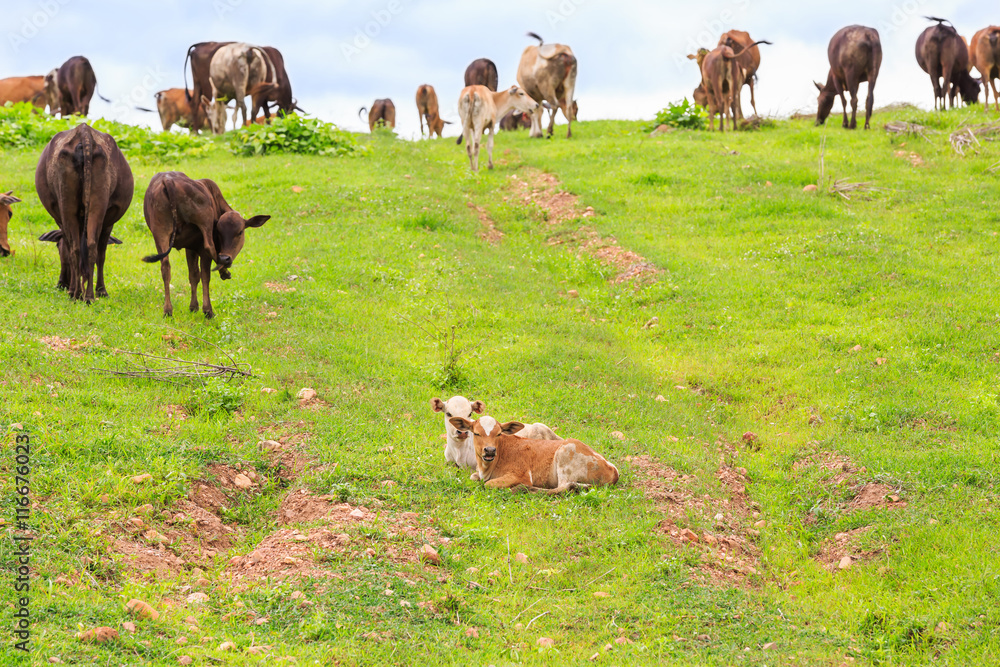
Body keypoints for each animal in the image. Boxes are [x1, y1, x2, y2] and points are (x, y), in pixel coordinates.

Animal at [35, 124, 134, 301]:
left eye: (57, 248)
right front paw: (100, 290)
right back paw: (87, 296)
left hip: (69, 208)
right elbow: (98, 255)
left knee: (77, 248)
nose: (61, 284)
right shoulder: (107, 222)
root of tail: (84, 132)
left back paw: (77, 294)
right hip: (95, 207)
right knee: (89, 247)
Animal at [142, 172, 269, 319]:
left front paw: (193, 306)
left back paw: (168, 310)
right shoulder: (199, 247)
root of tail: (168, 180)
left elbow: (193, 275)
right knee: (208, 254)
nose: (225, 258)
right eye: (218, 231)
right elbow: (203, 274)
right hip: (205, 223)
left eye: (239, 232)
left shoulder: (190, 248)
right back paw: (210, 305)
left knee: (165, 267)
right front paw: (203, 308)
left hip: (160, 234)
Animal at [448, 415, 619, 494]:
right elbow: (474, 477)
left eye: (498, 434)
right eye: (476, 433)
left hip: (566, 453)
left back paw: (524, 489)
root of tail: (613, 469)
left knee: (563, 487)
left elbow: (489, 484)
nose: (490, 450)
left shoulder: (521, 474)